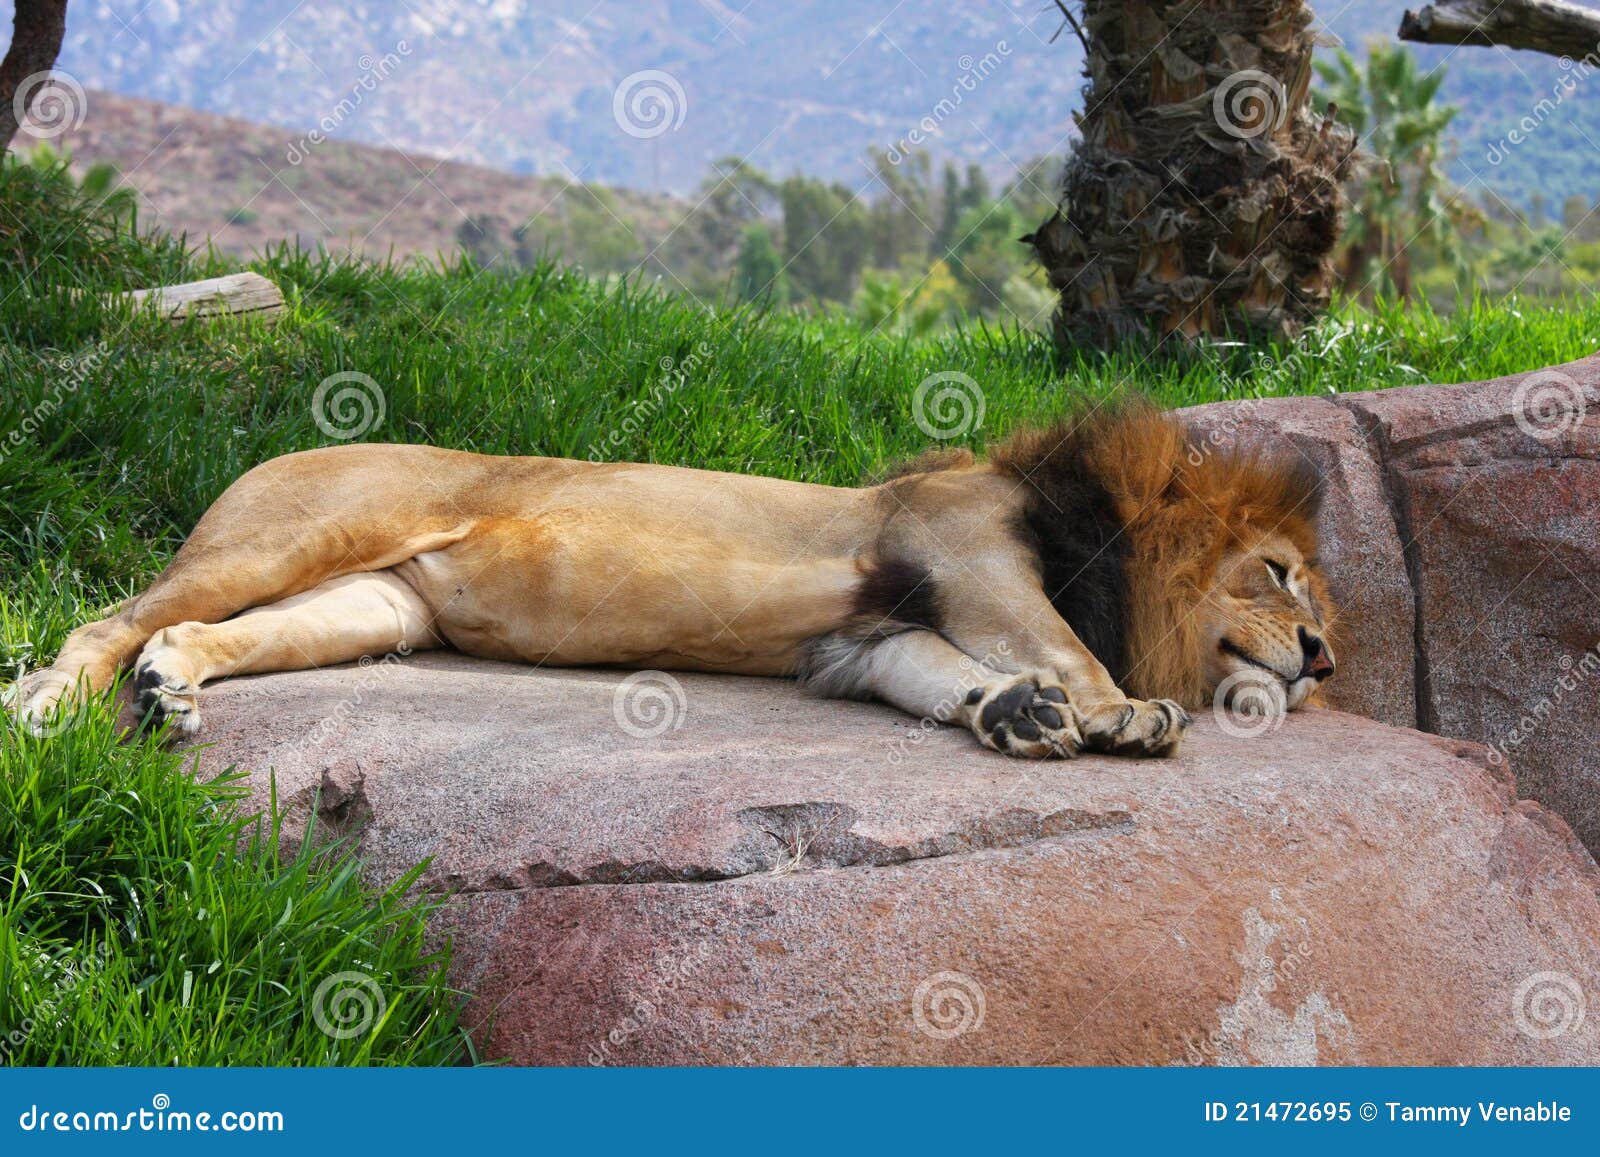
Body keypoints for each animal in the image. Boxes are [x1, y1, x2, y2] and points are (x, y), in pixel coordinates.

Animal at [14, 401, 1335, 758]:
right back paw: (42, 704)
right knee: (108, 615)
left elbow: (939, 673)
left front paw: (1014, 712)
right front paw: (1122, 709)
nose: (1321, 658)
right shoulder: (964, 551)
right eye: (1280, 576)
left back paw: (168, 691)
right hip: (307, 529)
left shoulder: (860, 638)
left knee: (200, 634)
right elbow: (1063, 641)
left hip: (373, 605)